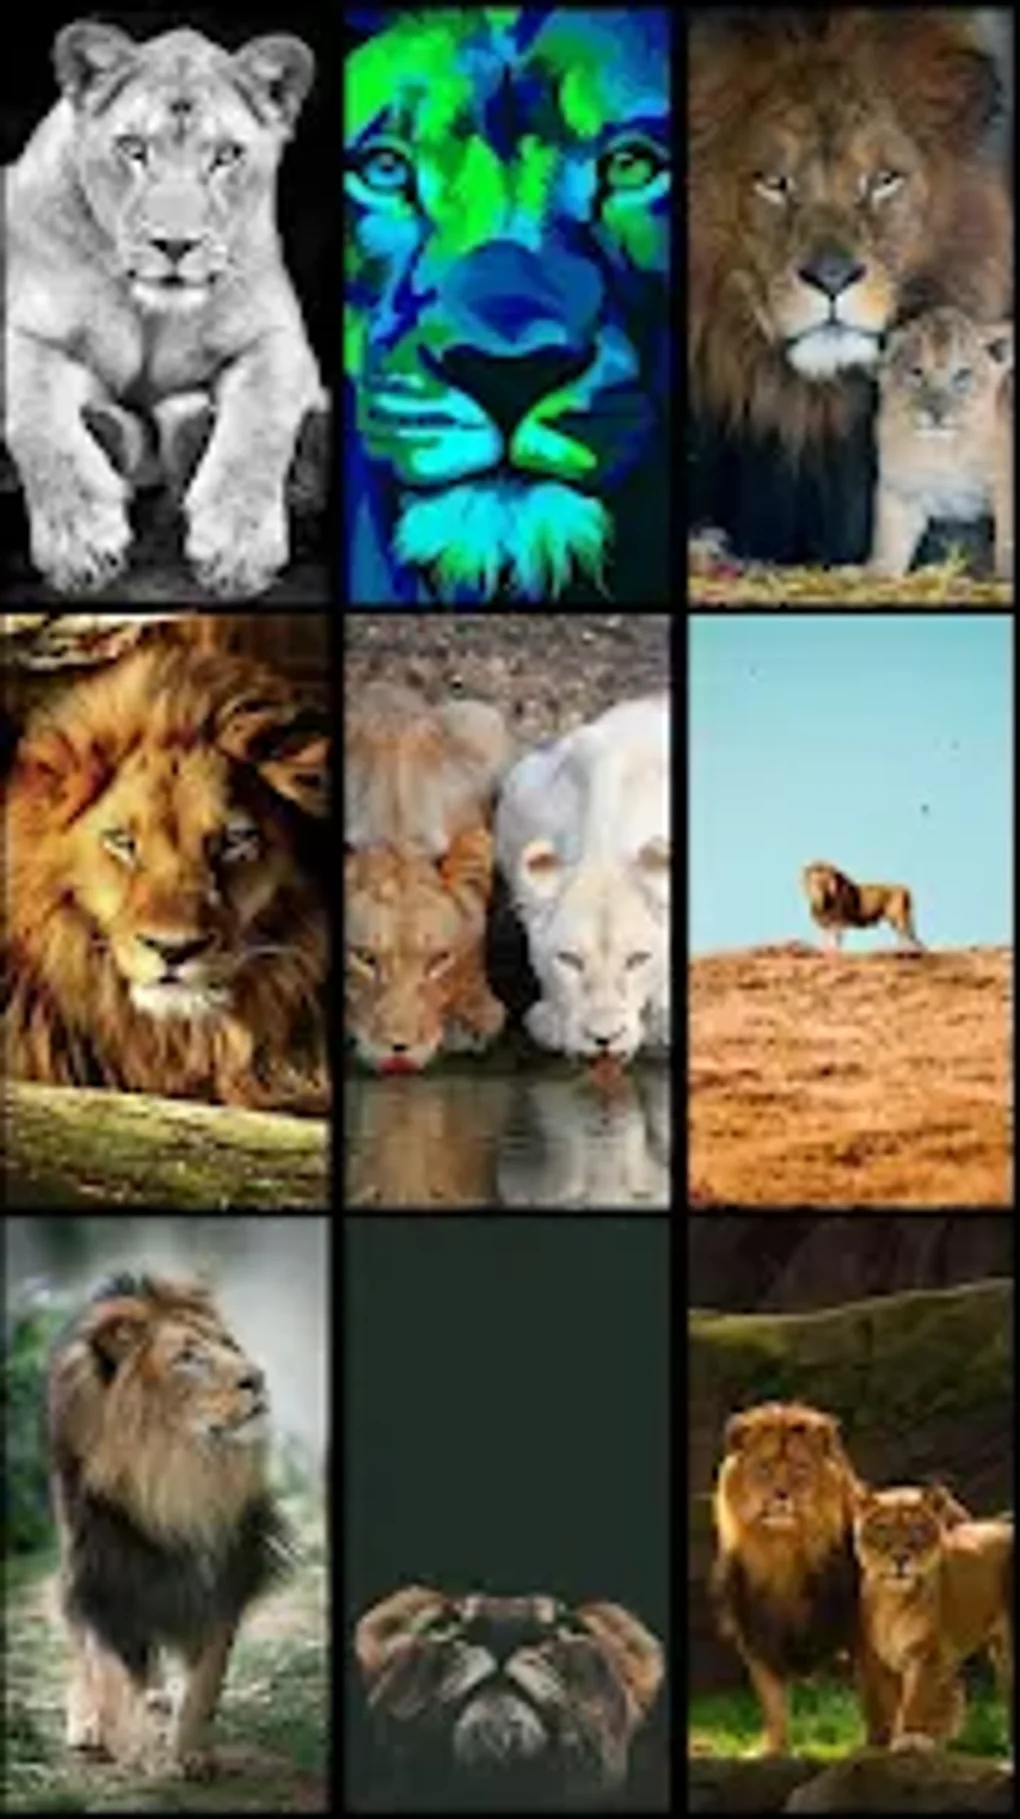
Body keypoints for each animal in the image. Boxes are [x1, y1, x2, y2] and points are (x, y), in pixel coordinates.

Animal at [3, 21, 323, 596]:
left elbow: (262, 423)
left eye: (225, 155)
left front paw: (237, 547)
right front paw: (79, 542)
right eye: (134, 149)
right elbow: (35, 420)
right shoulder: (26, 333)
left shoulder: (280, 338)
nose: (174, 245)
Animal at [48, 1272, 291, 1772]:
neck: (177, 1469)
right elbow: (110, 1666)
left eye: (228, 1345)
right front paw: (133, 1743)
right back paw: (89, 1722)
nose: (256, 1378)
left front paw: (193, 1750)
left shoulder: (224, 1569)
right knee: (83, 1647)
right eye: (187, 1358)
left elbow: (208, 1674)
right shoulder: (103, 1572)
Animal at [853, 1484, 1012, 1751]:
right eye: (883, 1527)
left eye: (918, 1528)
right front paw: (881, 1741)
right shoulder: (876, 1657)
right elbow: (883, 1701)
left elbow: (916, 1699)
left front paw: (910, 1738)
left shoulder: (926, 1652)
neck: (893, 1599)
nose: (901, 1558)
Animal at [872, 309, 1014, 579]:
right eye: (917, 372)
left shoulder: (1006, 486)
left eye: (963, 374)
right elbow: (889, 543)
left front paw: (1005, 578)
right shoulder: (901, 490)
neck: (943, 451)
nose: (936, 413)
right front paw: (879, 576)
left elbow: (1008, 539)